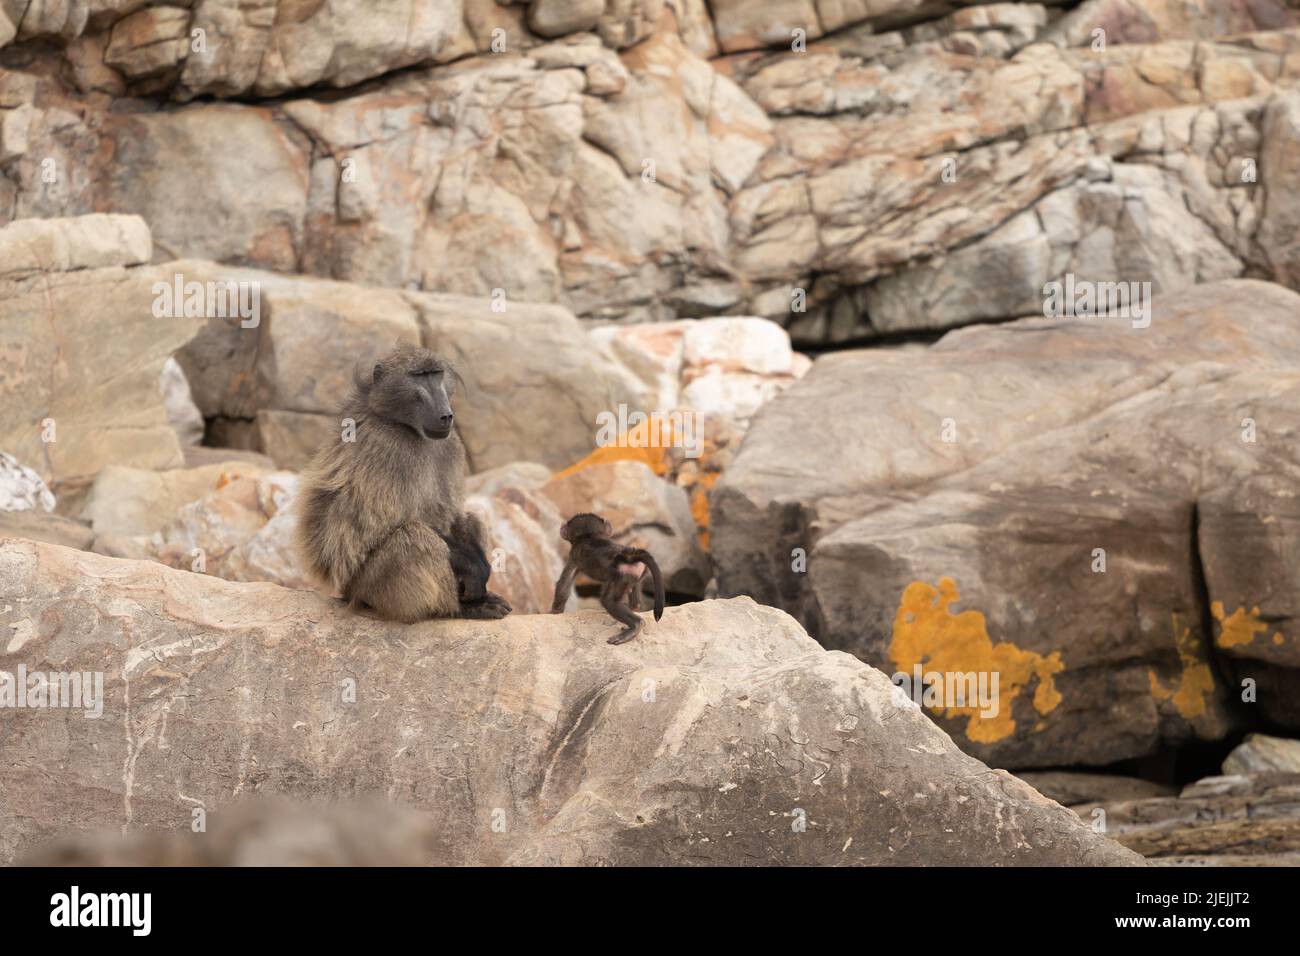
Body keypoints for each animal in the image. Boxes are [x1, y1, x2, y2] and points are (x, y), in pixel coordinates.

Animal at [295, 344, 511, 623]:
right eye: (419, 376)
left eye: (436, 374)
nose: (446, 415)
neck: (405, 426)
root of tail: (344, 593)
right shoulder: (387, 447)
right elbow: (386, 525)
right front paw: (474, 569)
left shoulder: (450, 444)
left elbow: (452, 514)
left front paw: (481, 568)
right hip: (368, 587)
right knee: (414, 538)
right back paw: (460, 609)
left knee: (471, 519)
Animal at [550, 513, 664, 645]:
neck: (589, 535)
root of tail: (629, 557)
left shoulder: (574, 556)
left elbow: (563, 584)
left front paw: (554, 612)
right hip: (635, 575)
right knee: (634, 599)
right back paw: (633, 609)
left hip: (621, 576)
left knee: (609, 601)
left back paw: (634, 627)